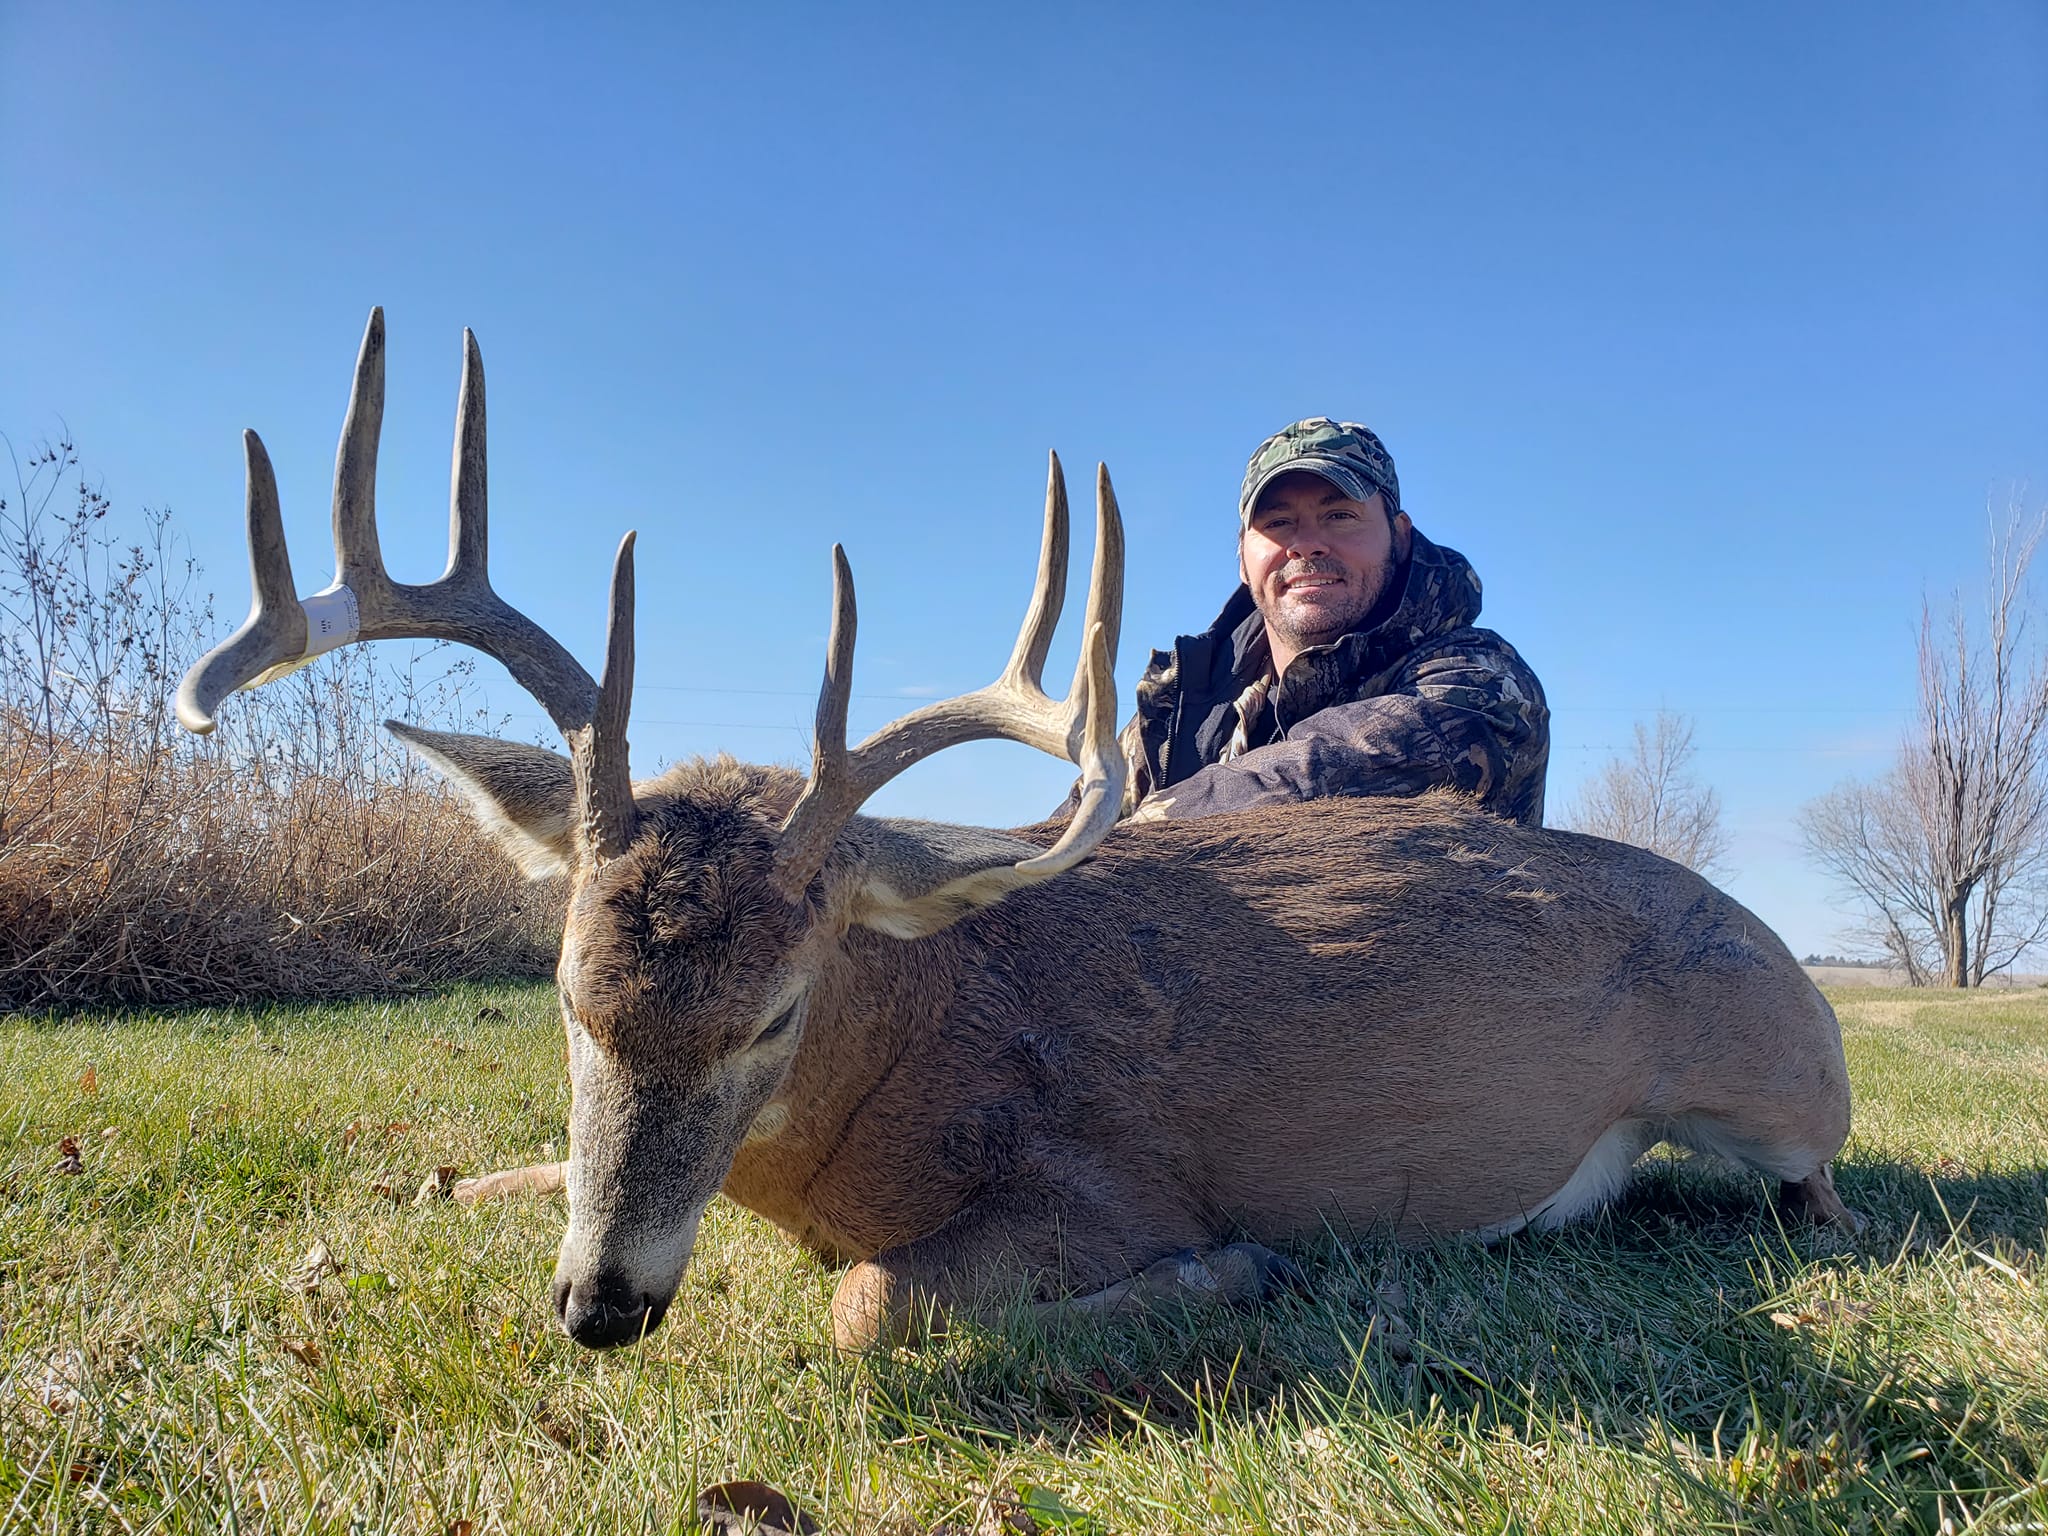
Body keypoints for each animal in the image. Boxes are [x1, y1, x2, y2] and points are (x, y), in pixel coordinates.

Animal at [176, 310, 1858, 1352]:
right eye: (570, 998)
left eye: (777, 1012)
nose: (603, 1310)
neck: (910, 1060)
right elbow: (486, 1174)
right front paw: (459, 1185)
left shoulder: (1099, 1181)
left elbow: (868, 1303)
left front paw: (1238, 1271)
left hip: (1786, 1091)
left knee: (1816, 1195)